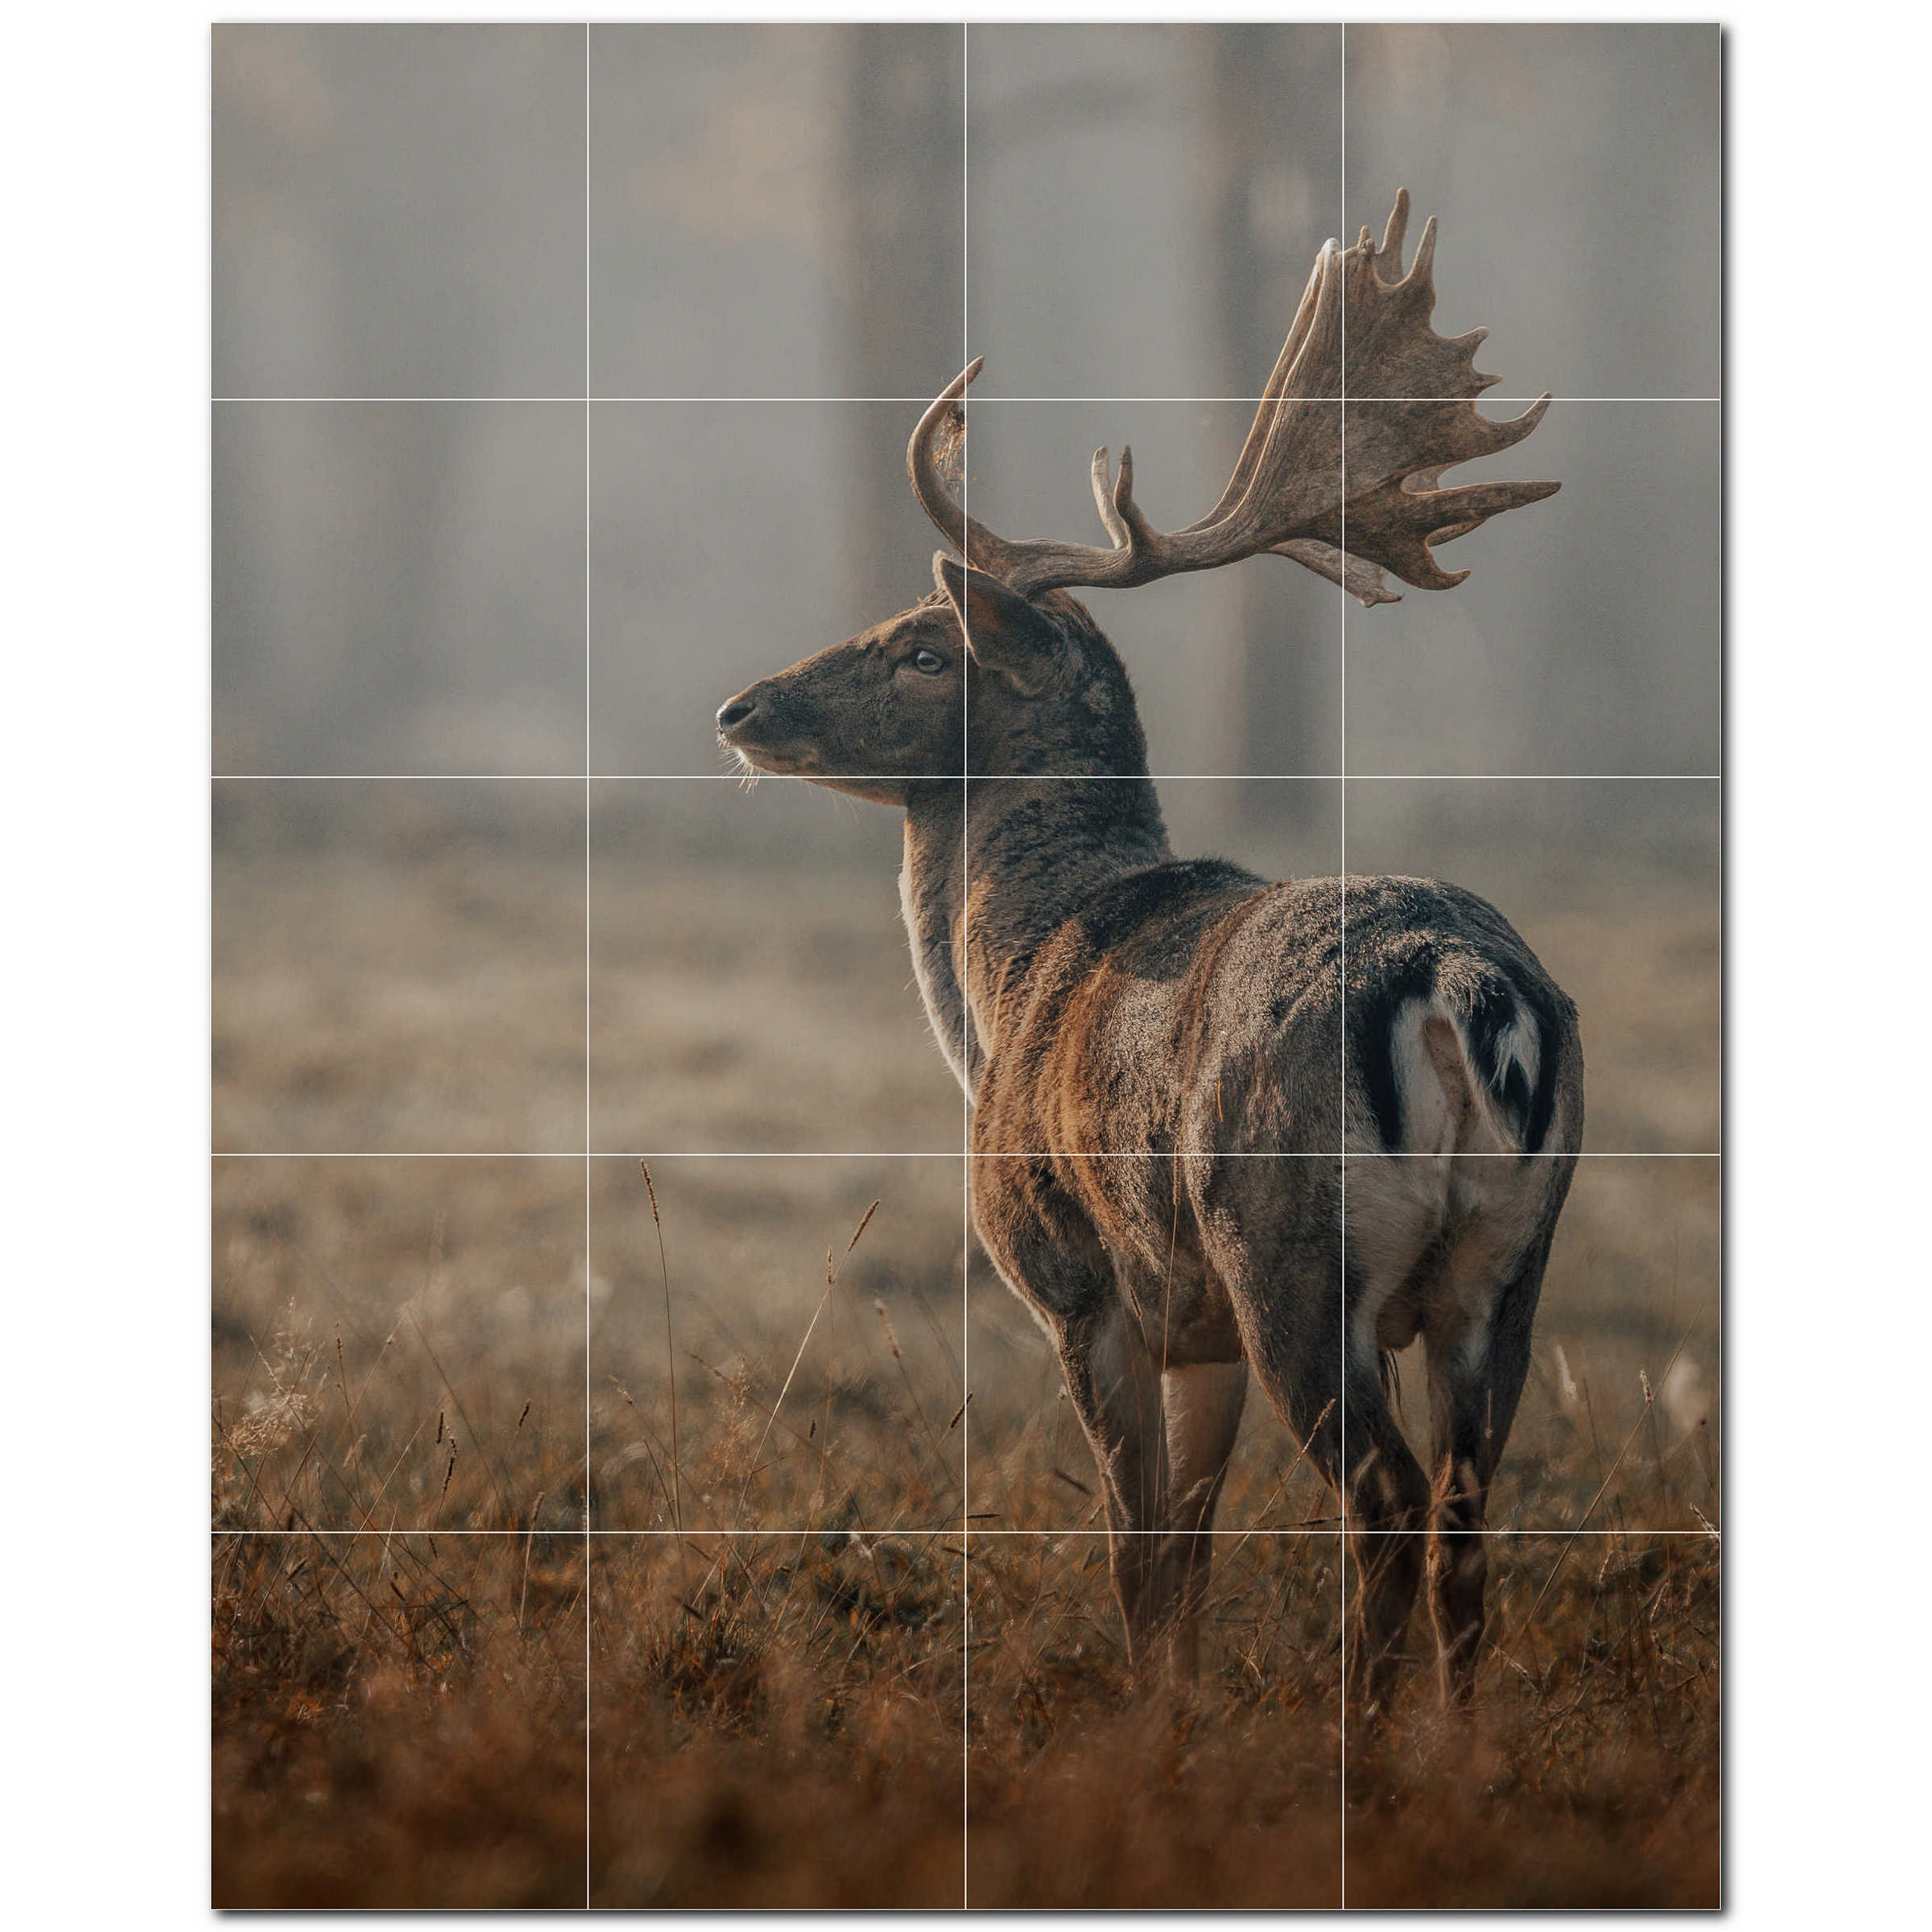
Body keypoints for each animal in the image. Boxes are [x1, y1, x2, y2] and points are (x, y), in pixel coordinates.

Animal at [715, 192, 1583, 1714]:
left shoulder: (1079, 1278)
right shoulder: (1199, 1331)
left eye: (925, 650)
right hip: (1506, 1264)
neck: (1008, 990)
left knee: (1387, 1506)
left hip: (1291, 1246)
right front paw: (1174, 1710)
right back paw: (1453, 1750)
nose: (743, 708)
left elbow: (1132, 1548)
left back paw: (1359, 1741)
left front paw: (1145, 1727)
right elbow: (1188, 1547)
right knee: (1469, 1523)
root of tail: (1465, 986)